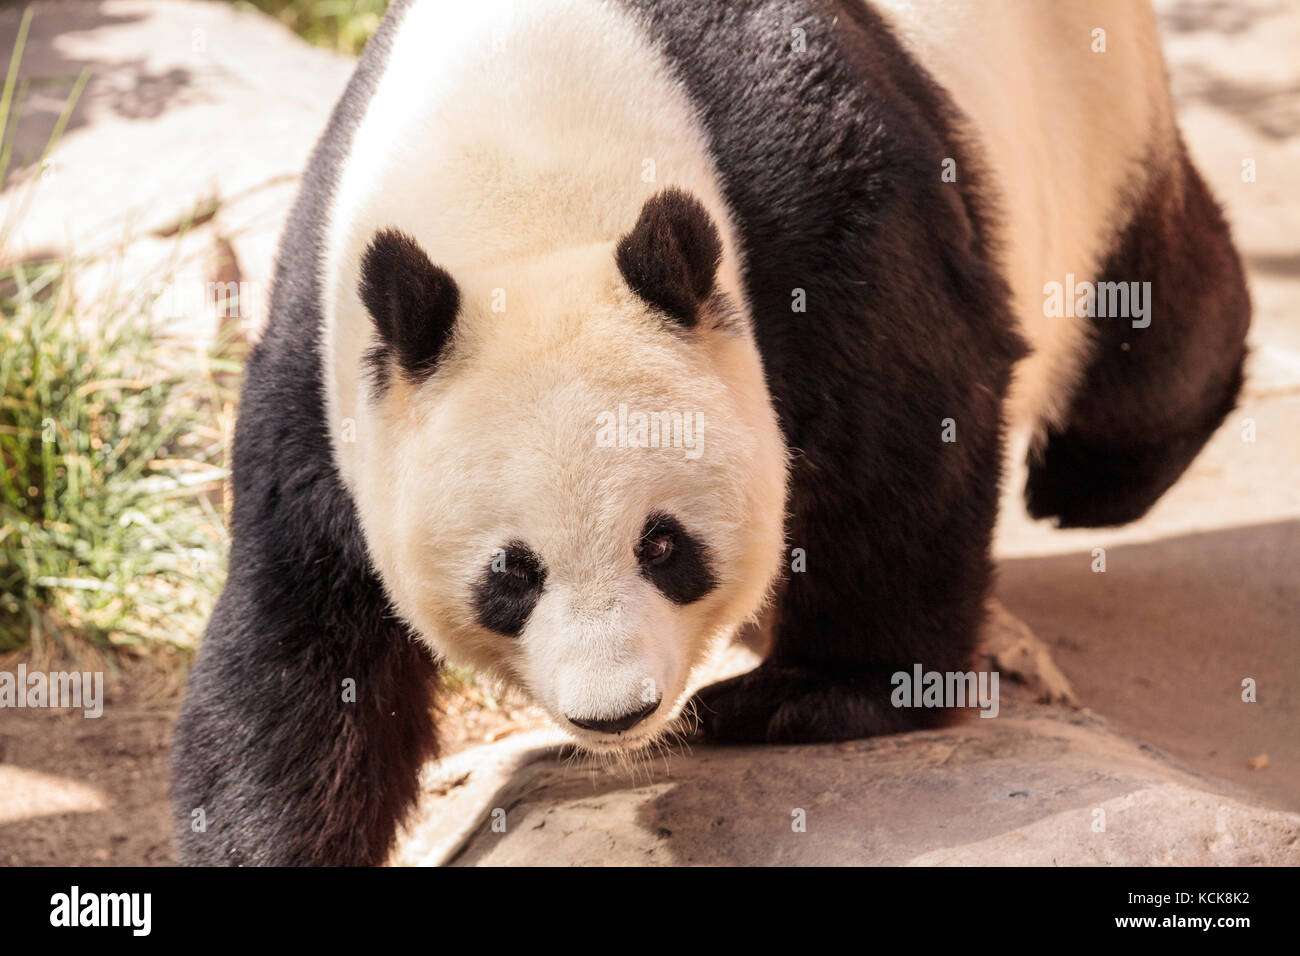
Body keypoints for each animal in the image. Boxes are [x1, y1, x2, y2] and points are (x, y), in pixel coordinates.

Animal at [172, 0, 1250, 865]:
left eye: (663, 544)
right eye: (511, 574)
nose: (616, 711)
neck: (518, 184)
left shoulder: (818, 211)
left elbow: (904, 435)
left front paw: (819, 693)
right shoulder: (336, 359)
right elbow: (302, 633)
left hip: (1087, 116)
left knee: (1143, 314)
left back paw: (1093, 482)